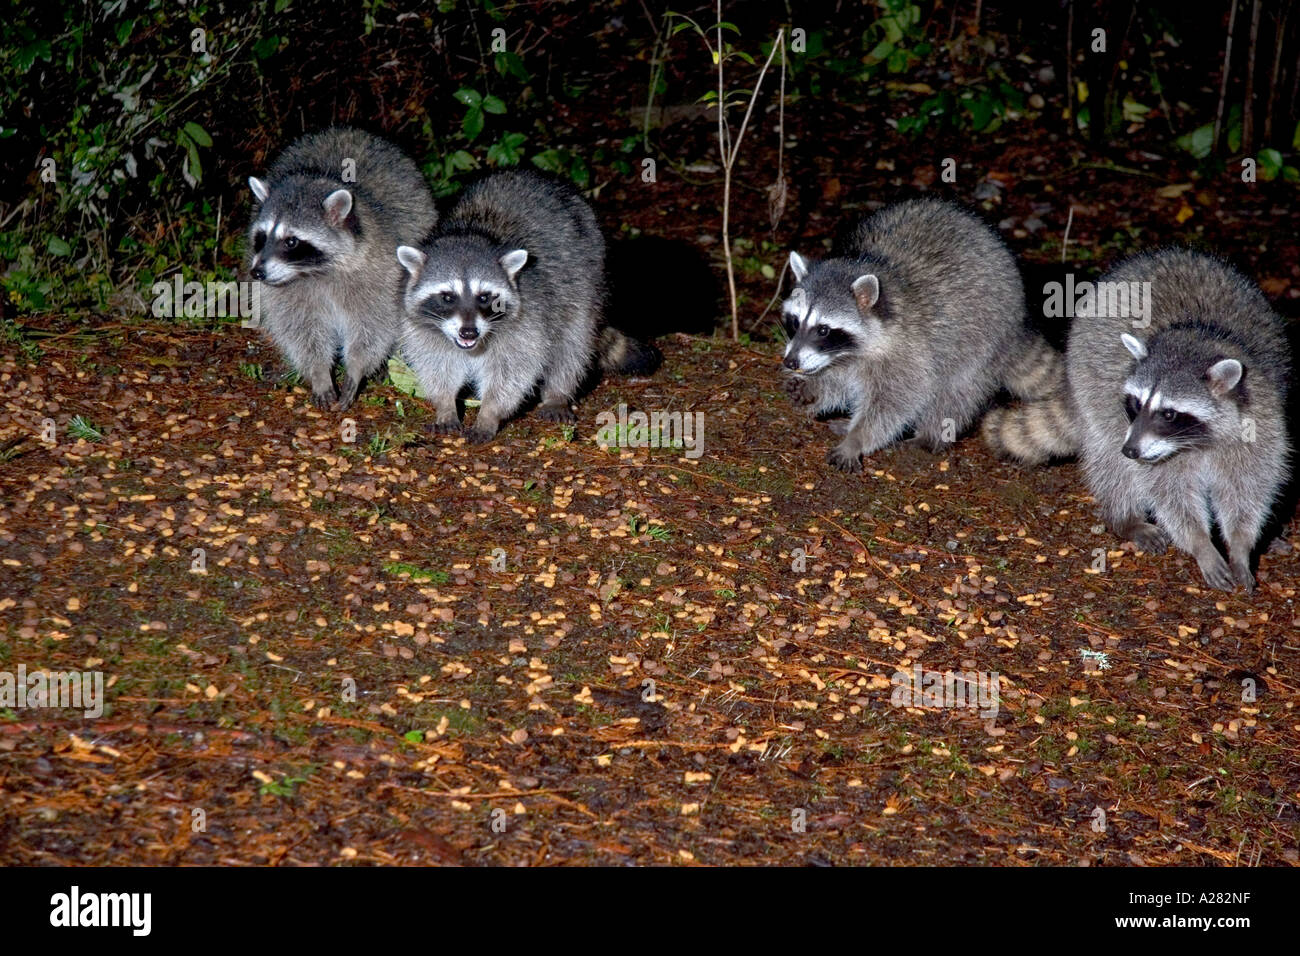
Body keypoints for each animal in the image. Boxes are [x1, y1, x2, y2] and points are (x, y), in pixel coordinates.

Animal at [246, 127, 437, 410]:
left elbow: (374, 325)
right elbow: (300, 329)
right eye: (262, 236)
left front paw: (356, 368)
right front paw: (319, 372)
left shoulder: (378, 272)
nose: (256, 273)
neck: (314, 272)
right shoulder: (285, 290)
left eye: (291, 241)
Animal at [396, 170, 657, 443]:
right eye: (448, 297)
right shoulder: (422, 325)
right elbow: (436, 362)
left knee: (572, 343)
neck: (470, 232)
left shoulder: (528, 316)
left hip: (588, 281)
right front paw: (445, 404)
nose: (468, 332)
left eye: (484, 298)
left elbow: (513, 370)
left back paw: (558, 393)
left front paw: (489, 412)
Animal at [781, 198, 1059, 472]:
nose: (790, 362)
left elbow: (895, 403)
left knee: (957, 390)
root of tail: (1020, 321)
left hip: (985, 342)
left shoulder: (910, 352)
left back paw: (931, 435)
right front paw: (816, 388)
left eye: (823, 329)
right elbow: (838, 381)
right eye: (795, 322)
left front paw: (857, 439)